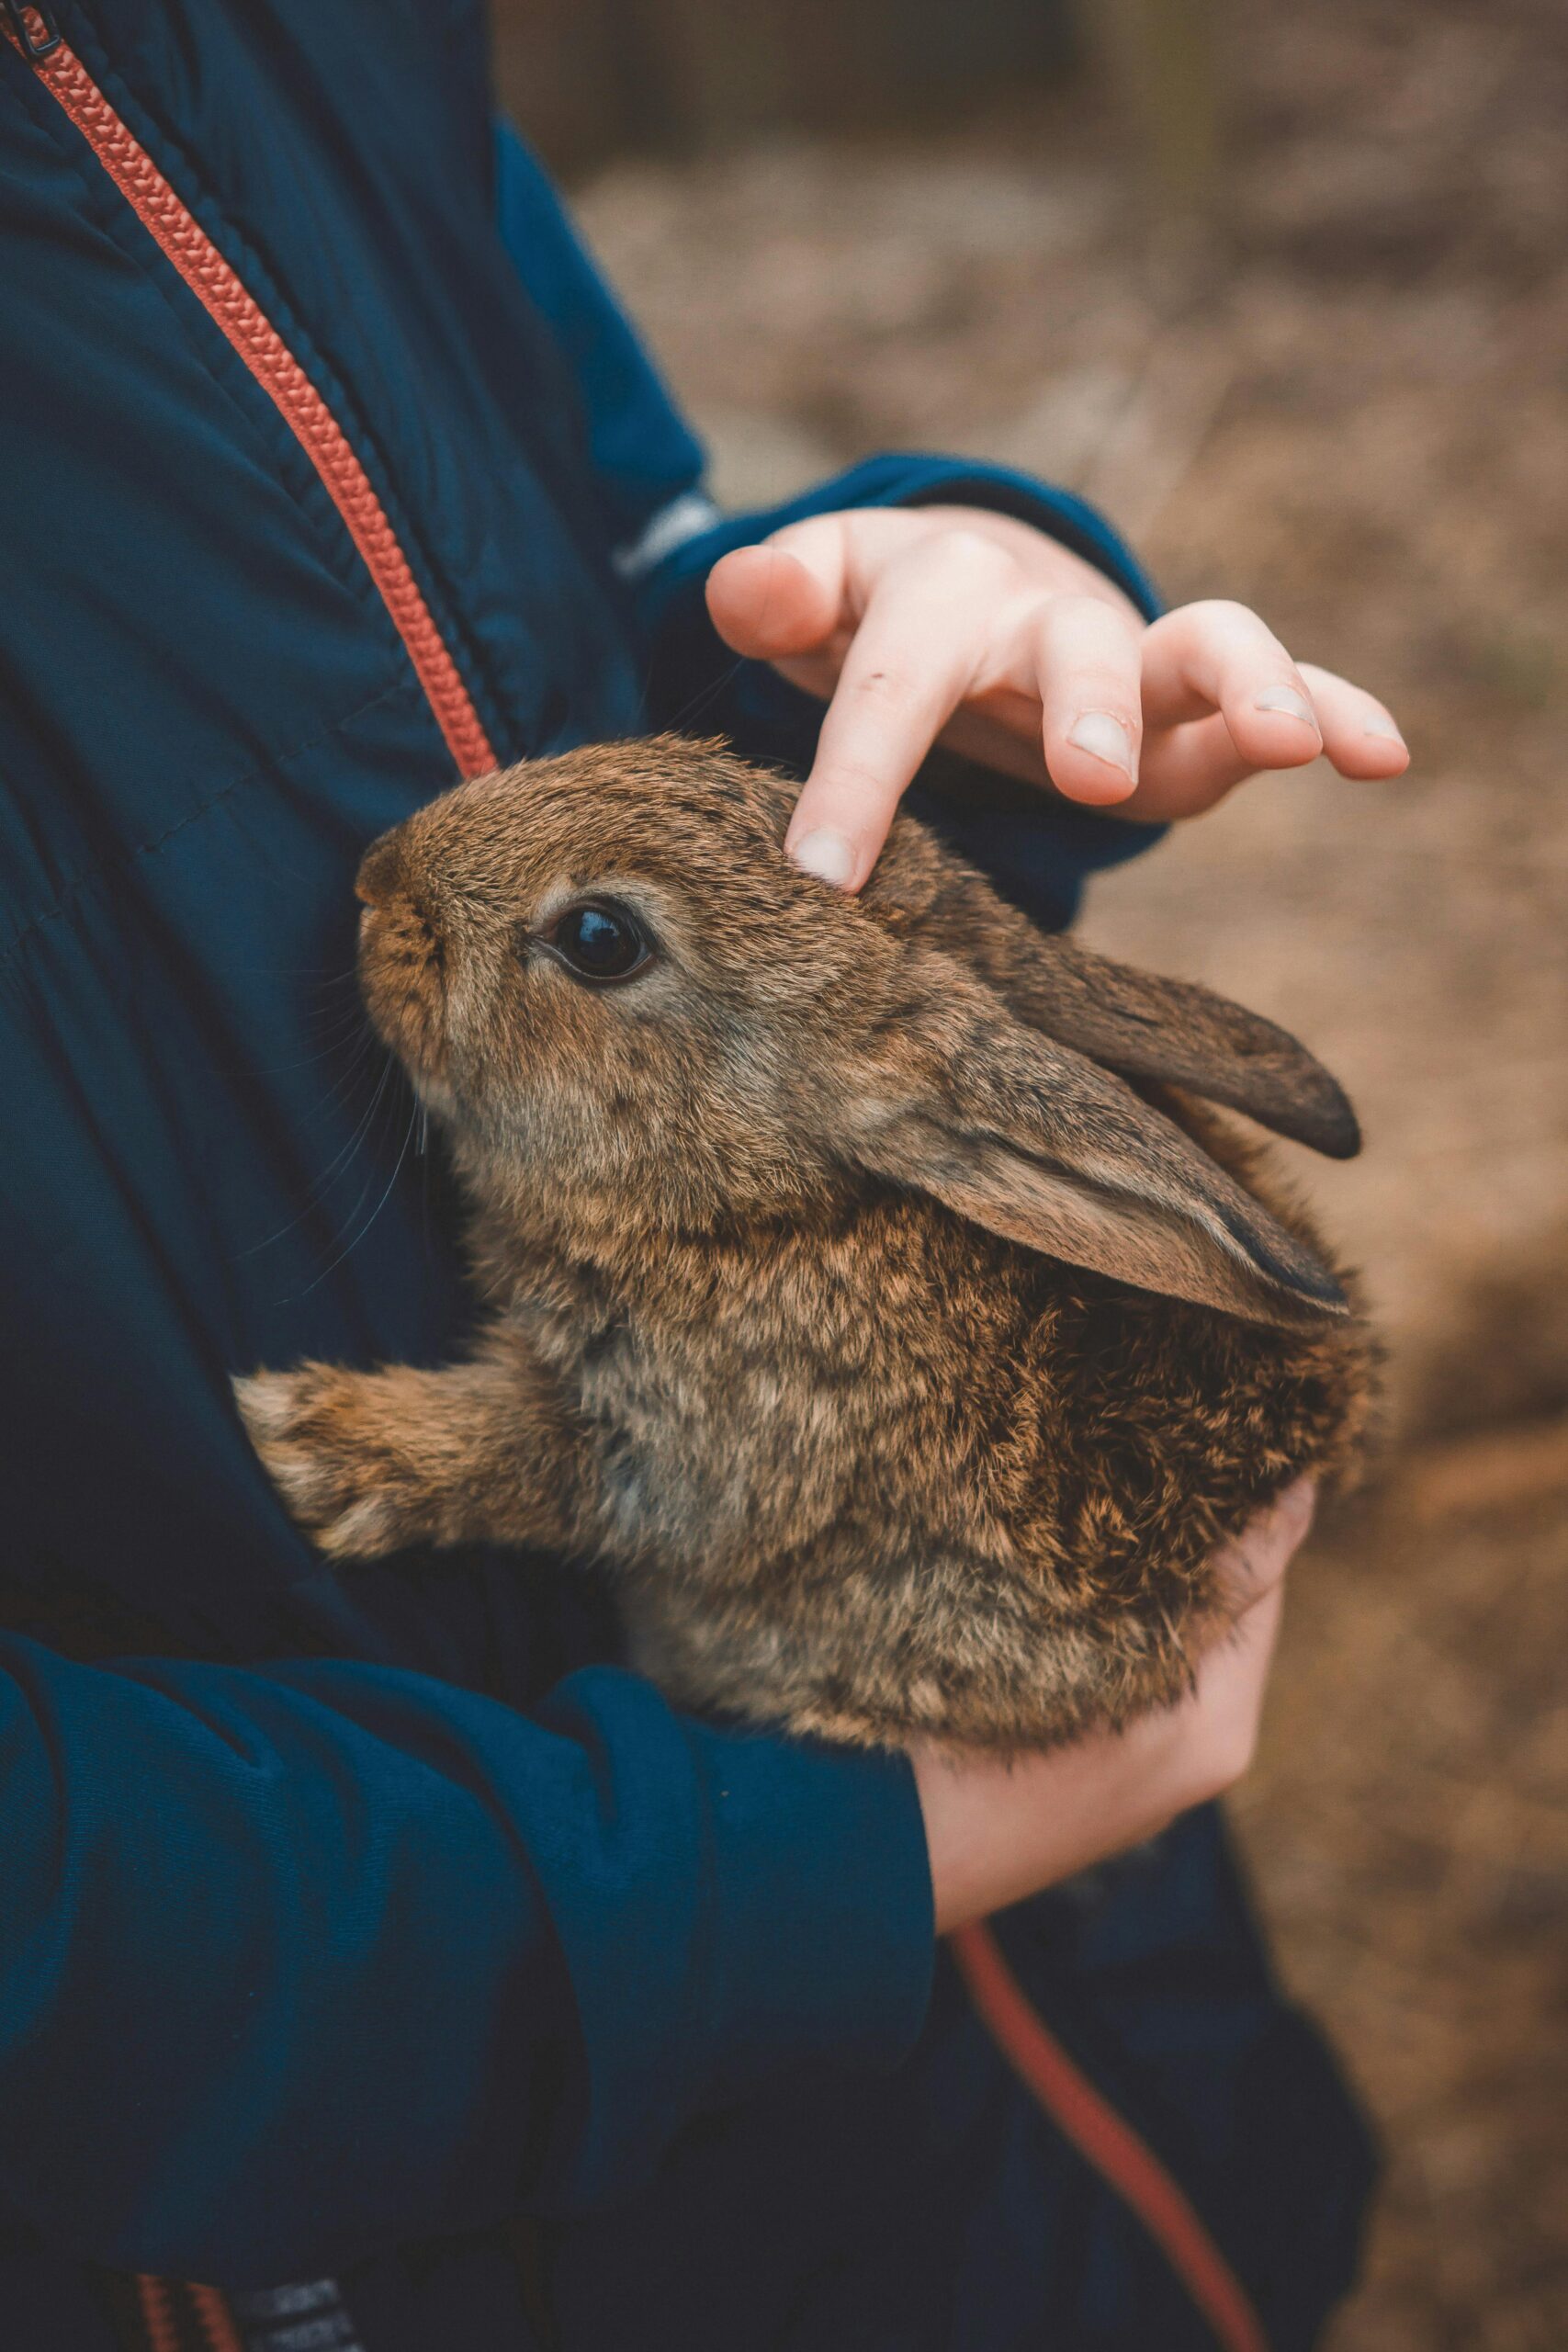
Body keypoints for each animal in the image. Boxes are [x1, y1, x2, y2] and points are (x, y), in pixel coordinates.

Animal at [236, 734, 1375, 1752]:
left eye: (600, 937)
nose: (377, 877)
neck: (768, 1206)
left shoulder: (695, 1454)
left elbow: (527, 1460)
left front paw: (313, 1440)